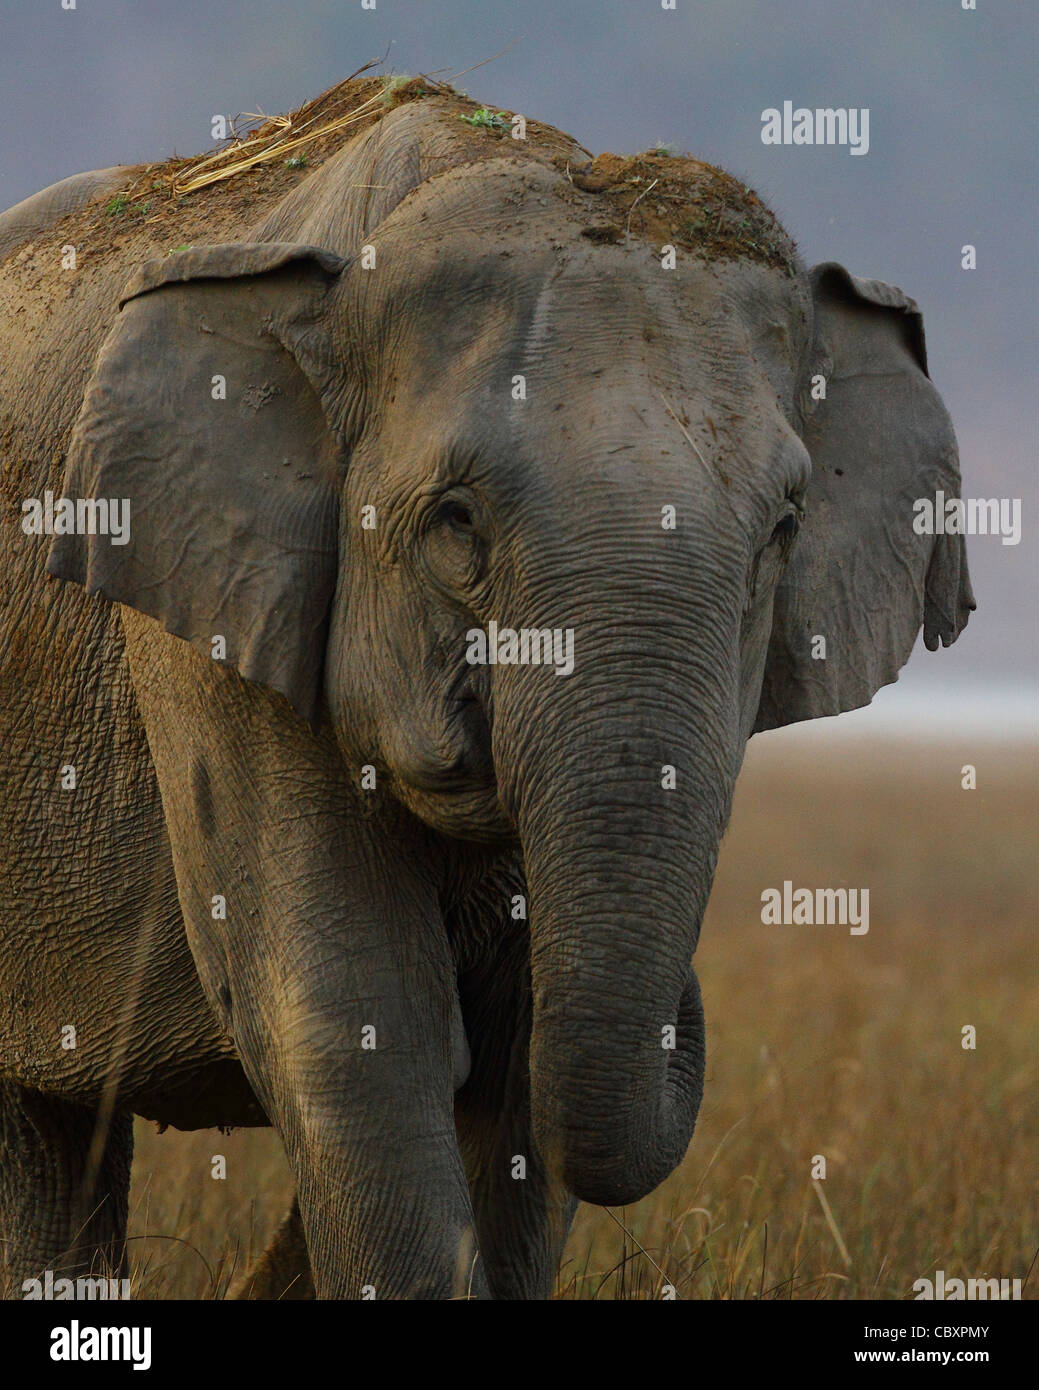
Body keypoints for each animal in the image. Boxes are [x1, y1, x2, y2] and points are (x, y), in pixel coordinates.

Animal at [0, 76, 974, 1300]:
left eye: (782, 531)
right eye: (455, 523)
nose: (691, 1000)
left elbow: (515, 1059)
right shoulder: (202, 631)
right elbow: (356, 1026)